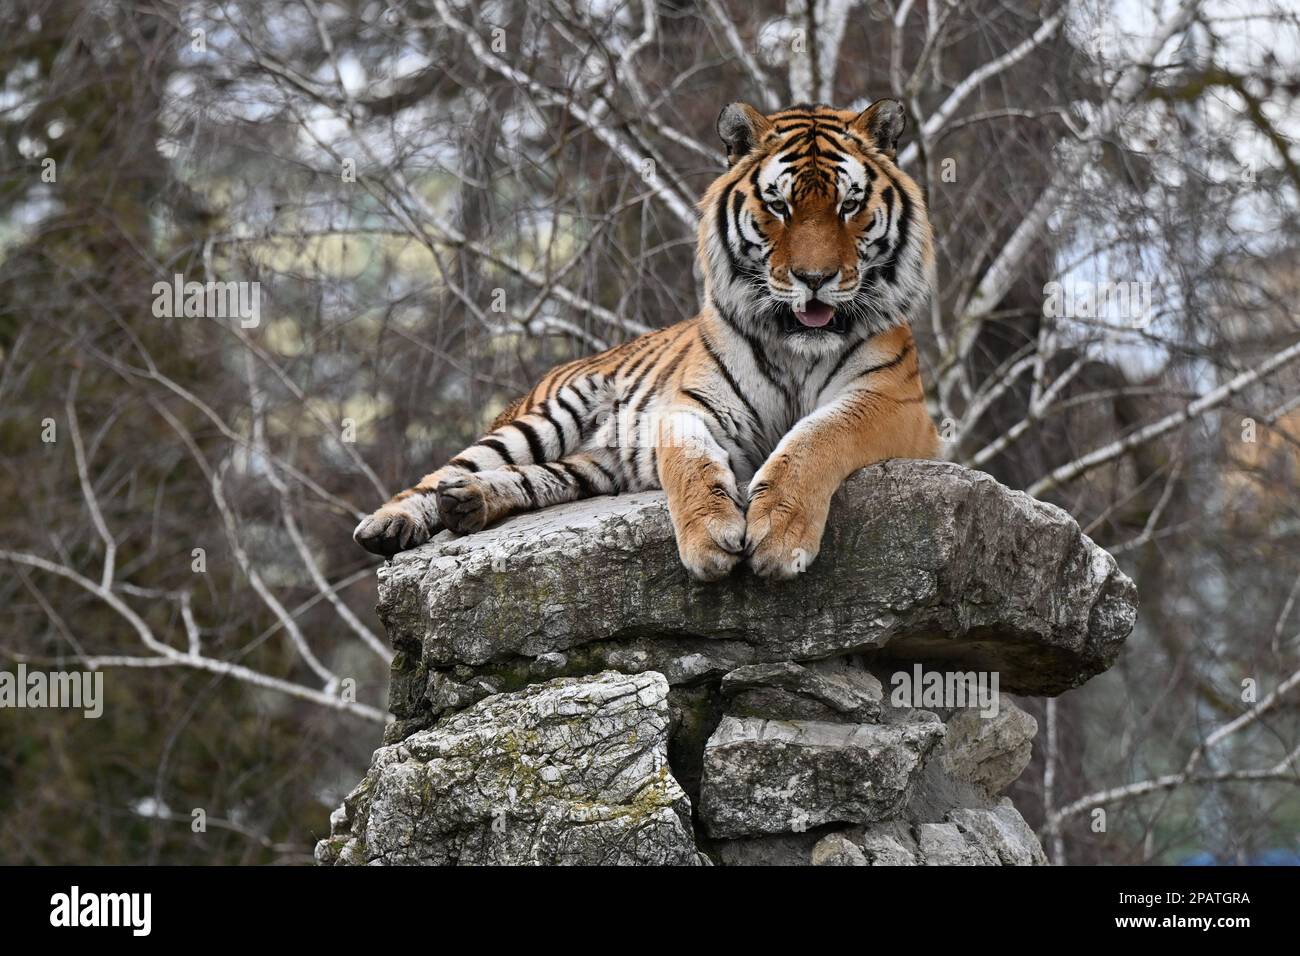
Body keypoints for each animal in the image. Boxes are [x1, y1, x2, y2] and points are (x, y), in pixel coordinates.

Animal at [354, 98, 940, 581]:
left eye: (848, 206)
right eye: (779, 206)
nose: (813, 278)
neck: (797, 347)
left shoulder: (890, 402)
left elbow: (816, 438)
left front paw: (777, 536)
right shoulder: (688, 405)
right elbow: (690, 461)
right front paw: (710, 540)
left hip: (591, 468)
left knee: (531, 478)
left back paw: (468, 504)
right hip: (547, 416)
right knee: (446, 472)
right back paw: (389, 523)